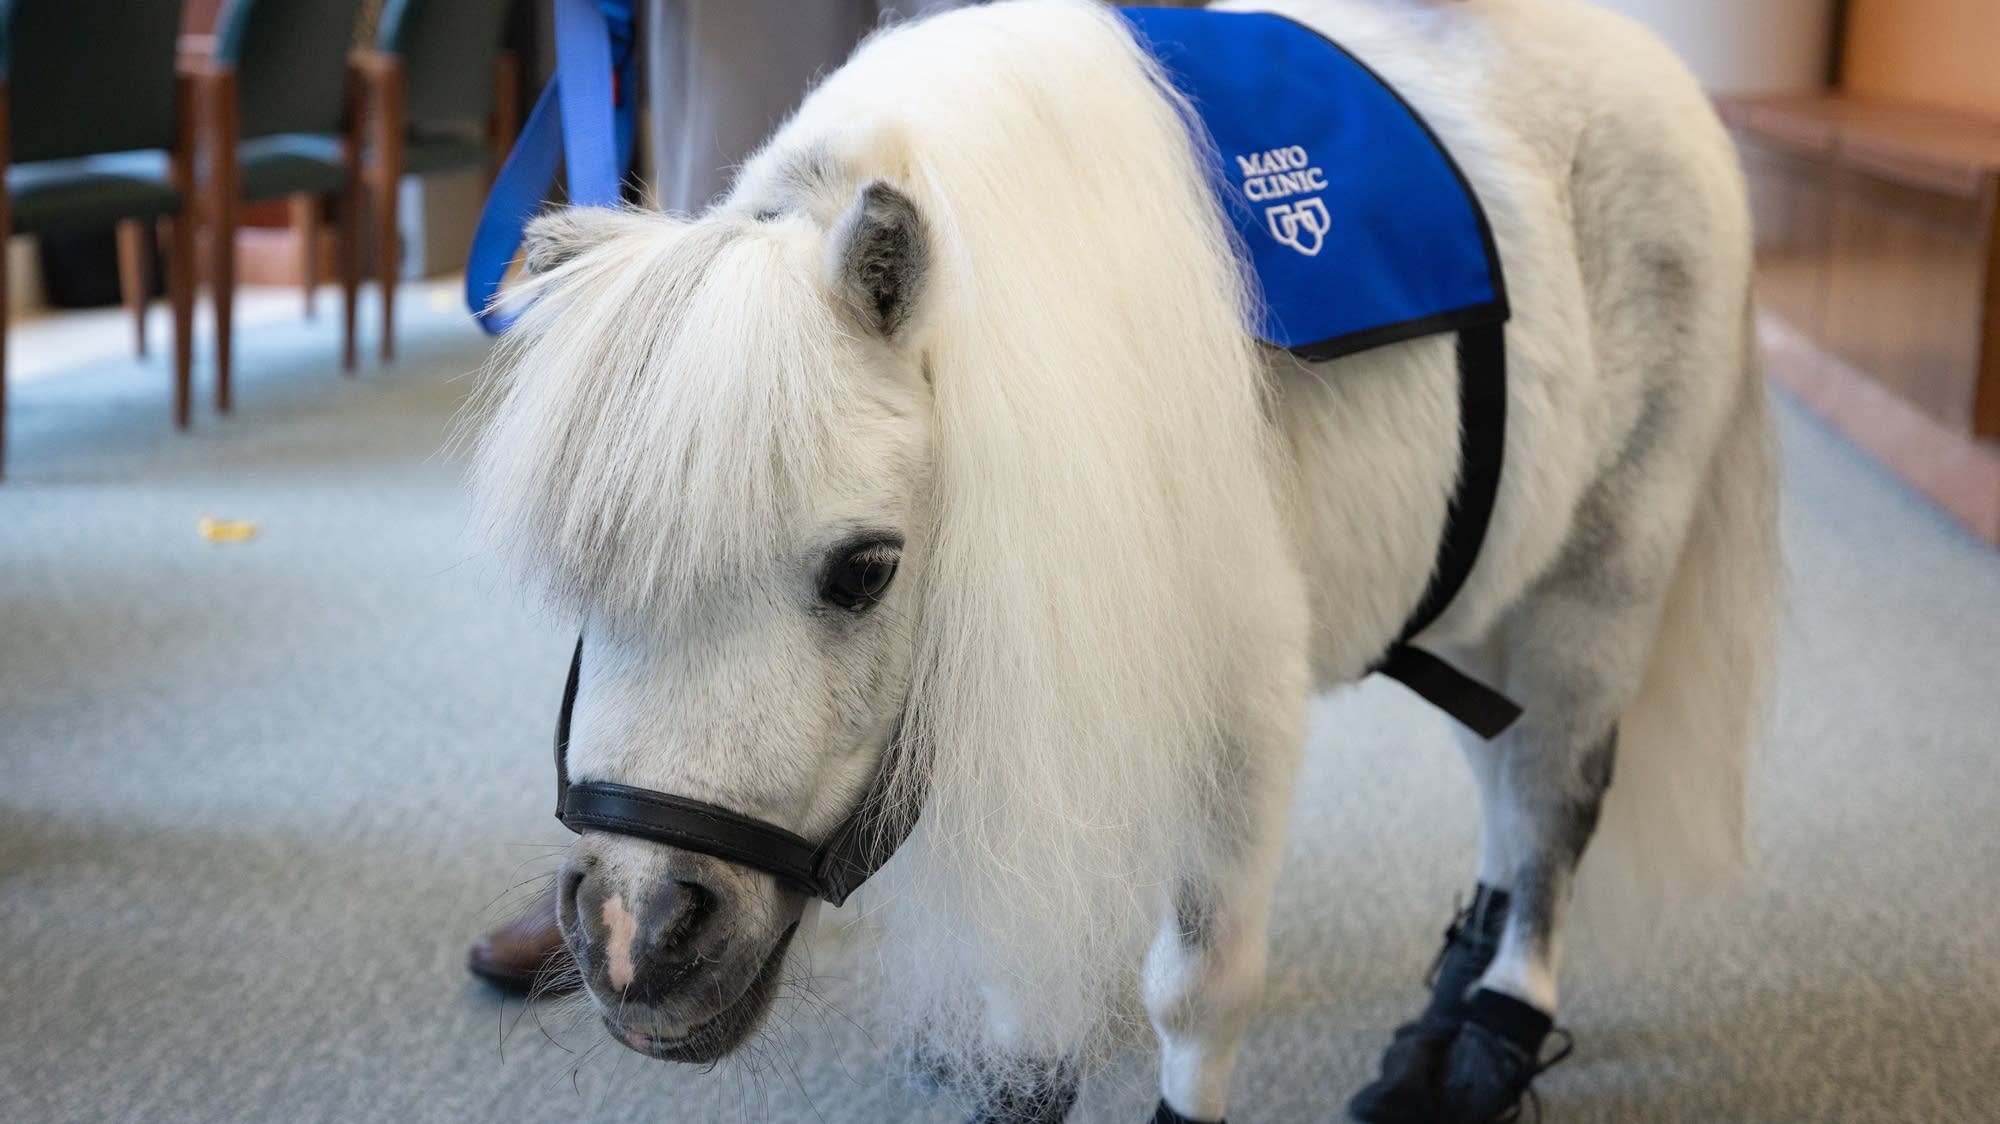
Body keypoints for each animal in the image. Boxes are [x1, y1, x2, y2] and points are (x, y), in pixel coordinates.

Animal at [467, 1, 1779, 1120]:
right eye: (579, 576)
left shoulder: (1235, 715)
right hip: (1487, 591)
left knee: (1553, 797)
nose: (638, 940)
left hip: (1602, 575)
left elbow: (1196, 988)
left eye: (863, 569)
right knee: (1504, 782)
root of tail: (1651, 68)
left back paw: (1485, 1036)